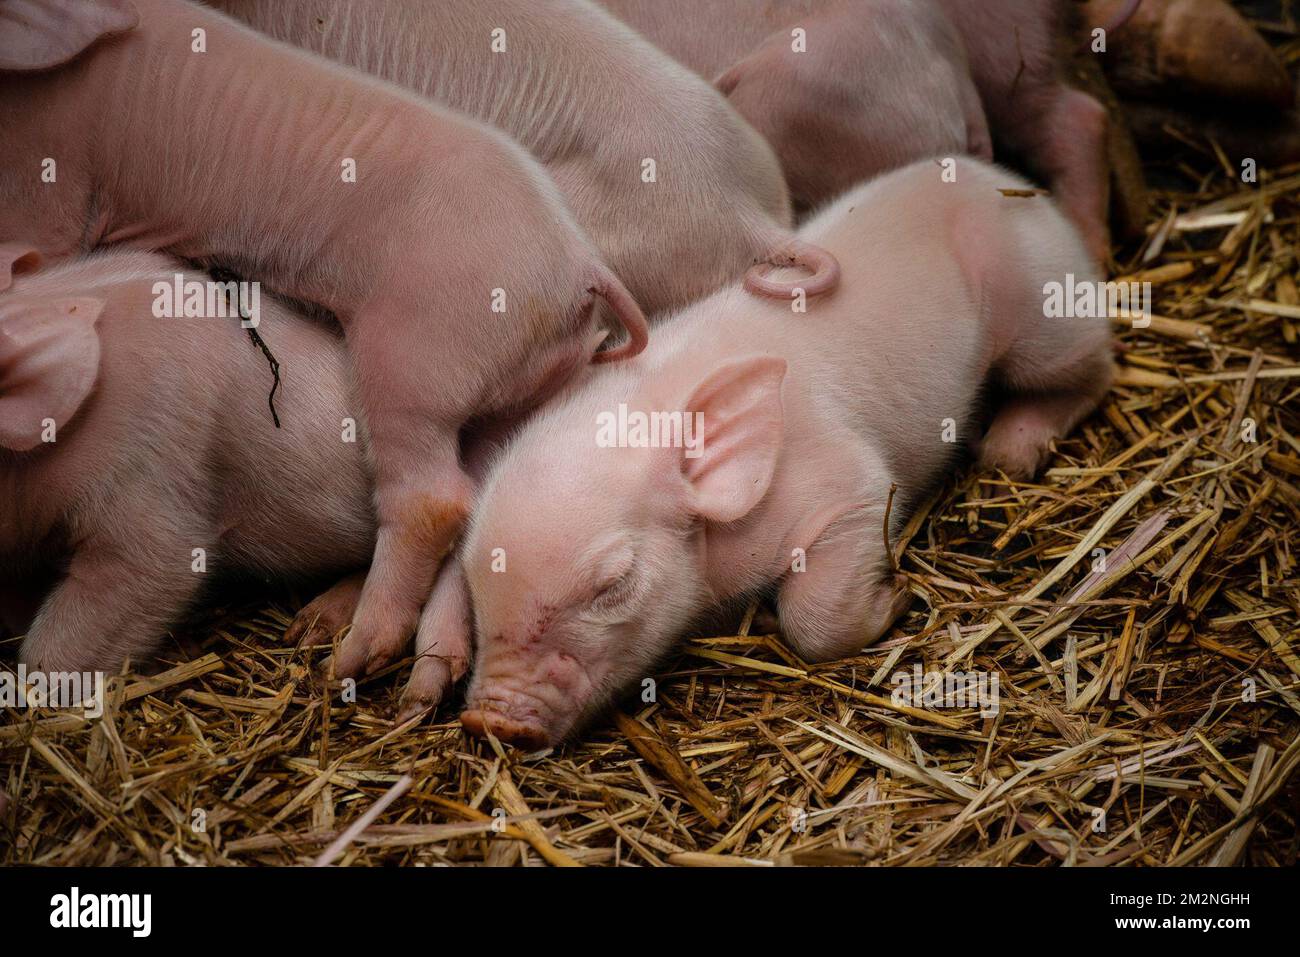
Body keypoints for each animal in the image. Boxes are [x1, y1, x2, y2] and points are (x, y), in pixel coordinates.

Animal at [457, 158, 1116, 748]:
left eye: (614, 585)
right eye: (472, 581)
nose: (491, 720)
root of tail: (1005, 180)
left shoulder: (848, 488)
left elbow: (814, 616)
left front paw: (898, 597)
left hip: (1042, 314)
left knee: (1093, 367)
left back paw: (1004, 453)